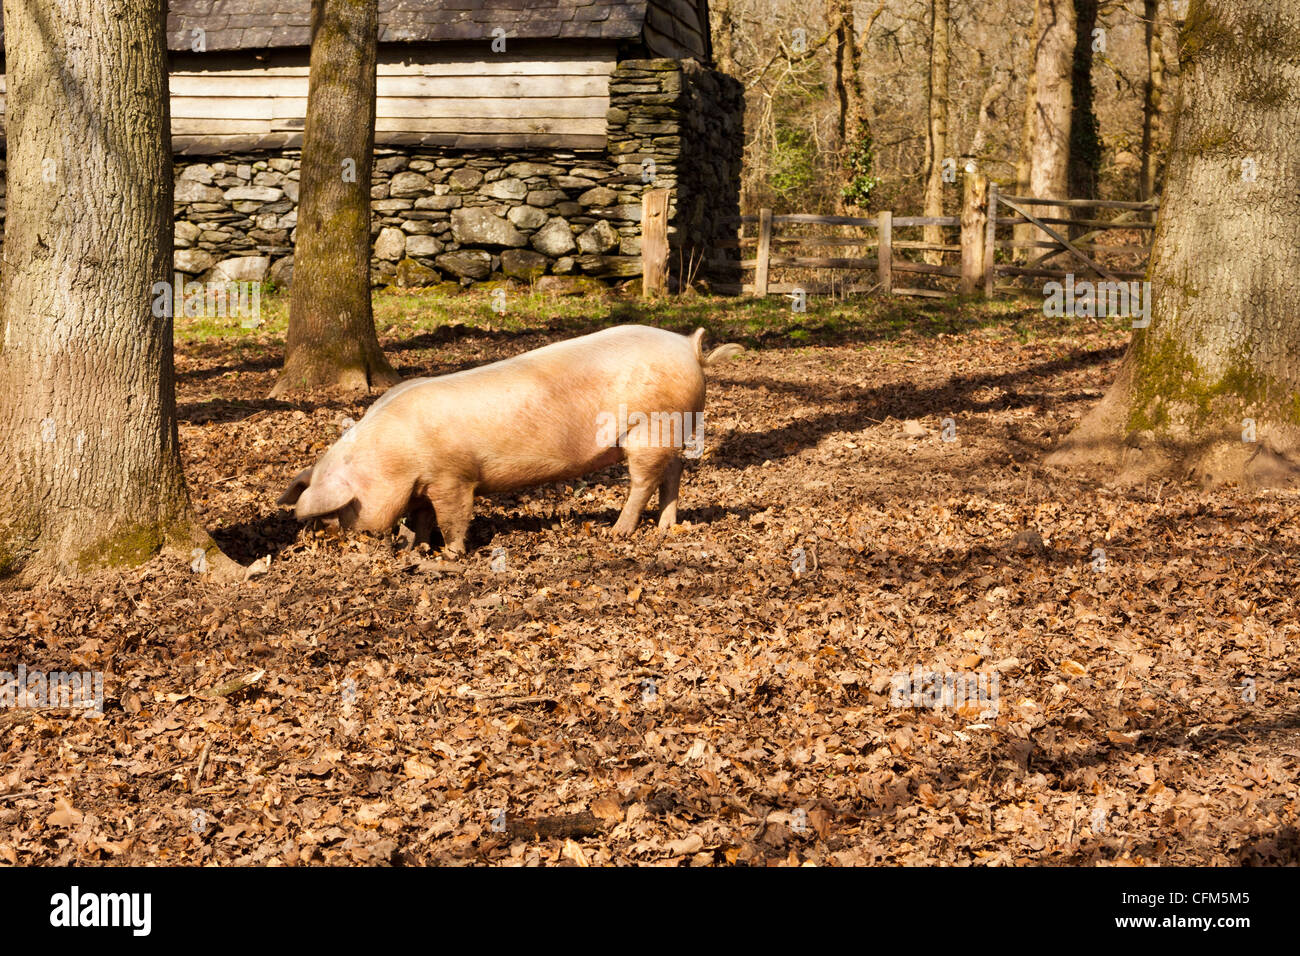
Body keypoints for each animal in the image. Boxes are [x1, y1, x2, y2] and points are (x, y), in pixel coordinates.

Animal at [277, 325, 742, 553]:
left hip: (648, 429)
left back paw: (617, 533)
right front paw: (414, 549)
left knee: (644, 481)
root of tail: (689, 347)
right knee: (674, 473)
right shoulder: (424, 483)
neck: (391, 459)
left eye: (341, 509)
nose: (326, 539)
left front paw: (449, 556)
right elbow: (421, 517)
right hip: (675, 426)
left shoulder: (453, 477)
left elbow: (453, 518)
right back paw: (666, 527)